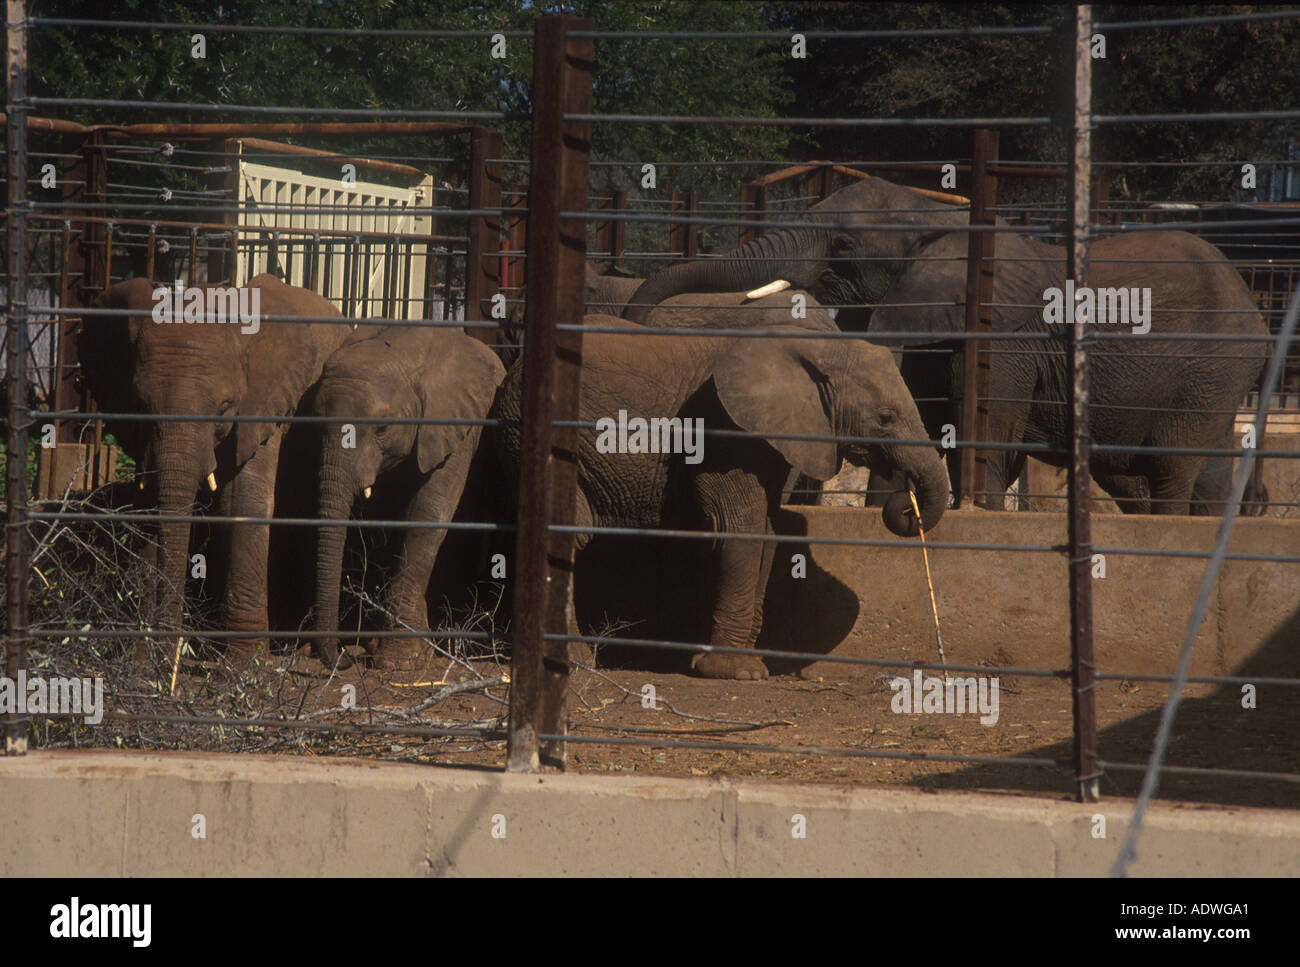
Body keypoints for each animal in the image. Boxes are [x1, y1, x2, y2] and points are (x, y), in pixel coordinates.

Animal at [78, 274, 367, 664]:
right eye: (140, 405)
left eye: (223, 408)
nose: (170, 648)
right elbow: (151, 505)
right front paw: (140, 657)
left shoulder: (265, 401)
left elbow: (243, 500)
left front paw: (247, 665)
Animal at [490, 317, 948, 680]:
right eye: (885, 418)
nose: (905, 504)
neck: (809, 347)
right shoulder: (721, 428)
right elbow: (738, 528)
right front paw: (734, 672)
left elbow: (767, 531)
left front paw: (748, 664)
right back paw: (575, 664)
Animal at [622, 176, 1270, 515]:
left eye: (843, 246)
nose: (635, 322)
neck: (941, 218)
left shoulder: (1006, 334)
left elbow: (987, 426)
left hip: (1211, 367)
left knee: (1172, 463)